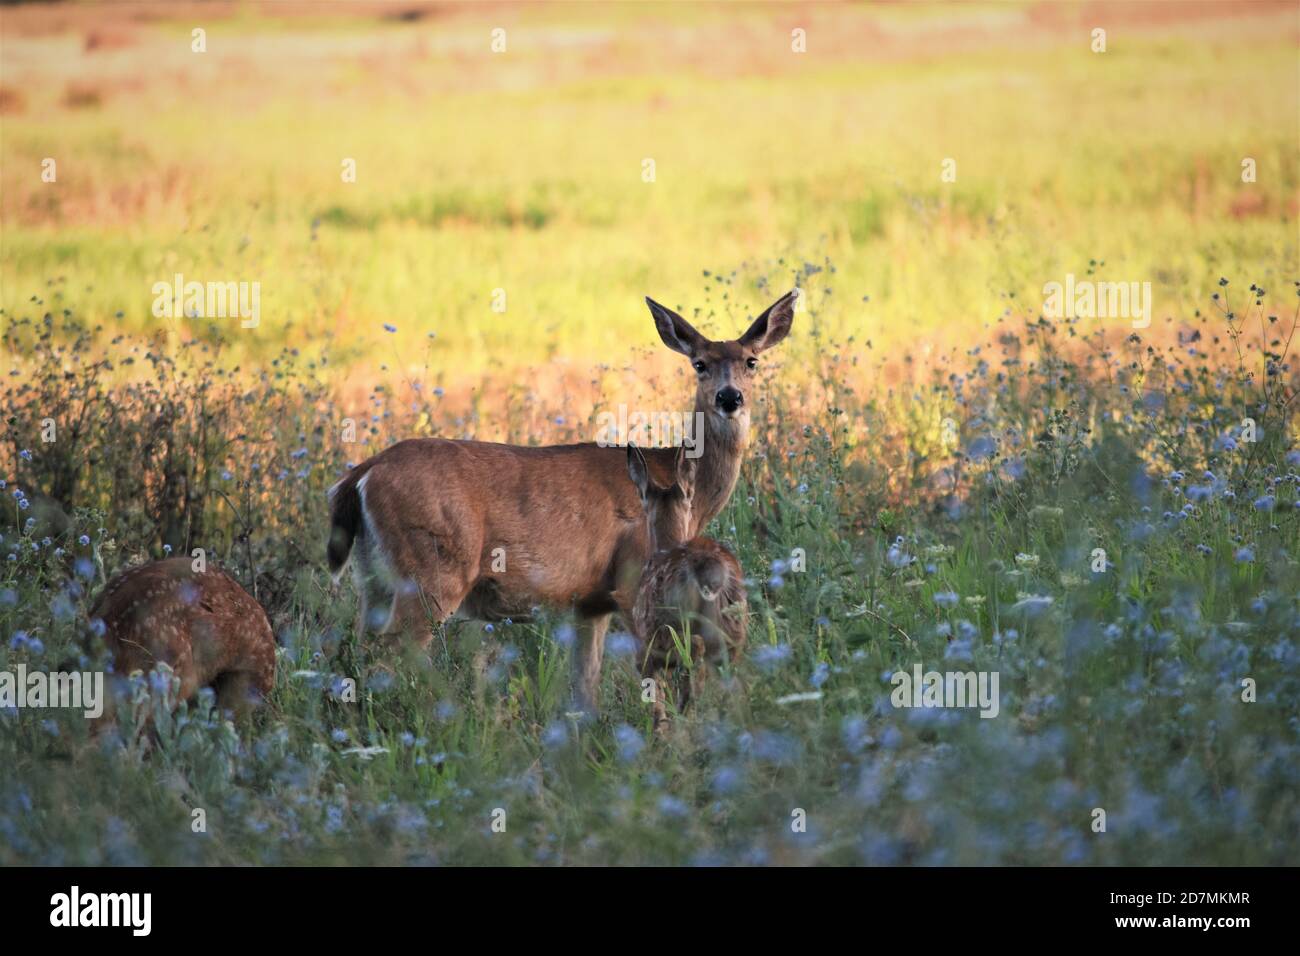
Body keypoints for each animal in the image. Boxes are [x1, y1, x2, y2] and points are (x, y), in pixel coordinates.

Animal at [627, 444, 747, 733]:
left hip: (674, 625)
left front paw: (660, 731)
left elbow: (654, 694)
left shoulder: (646, 647)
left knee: (696, 655)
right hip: (735, 628)